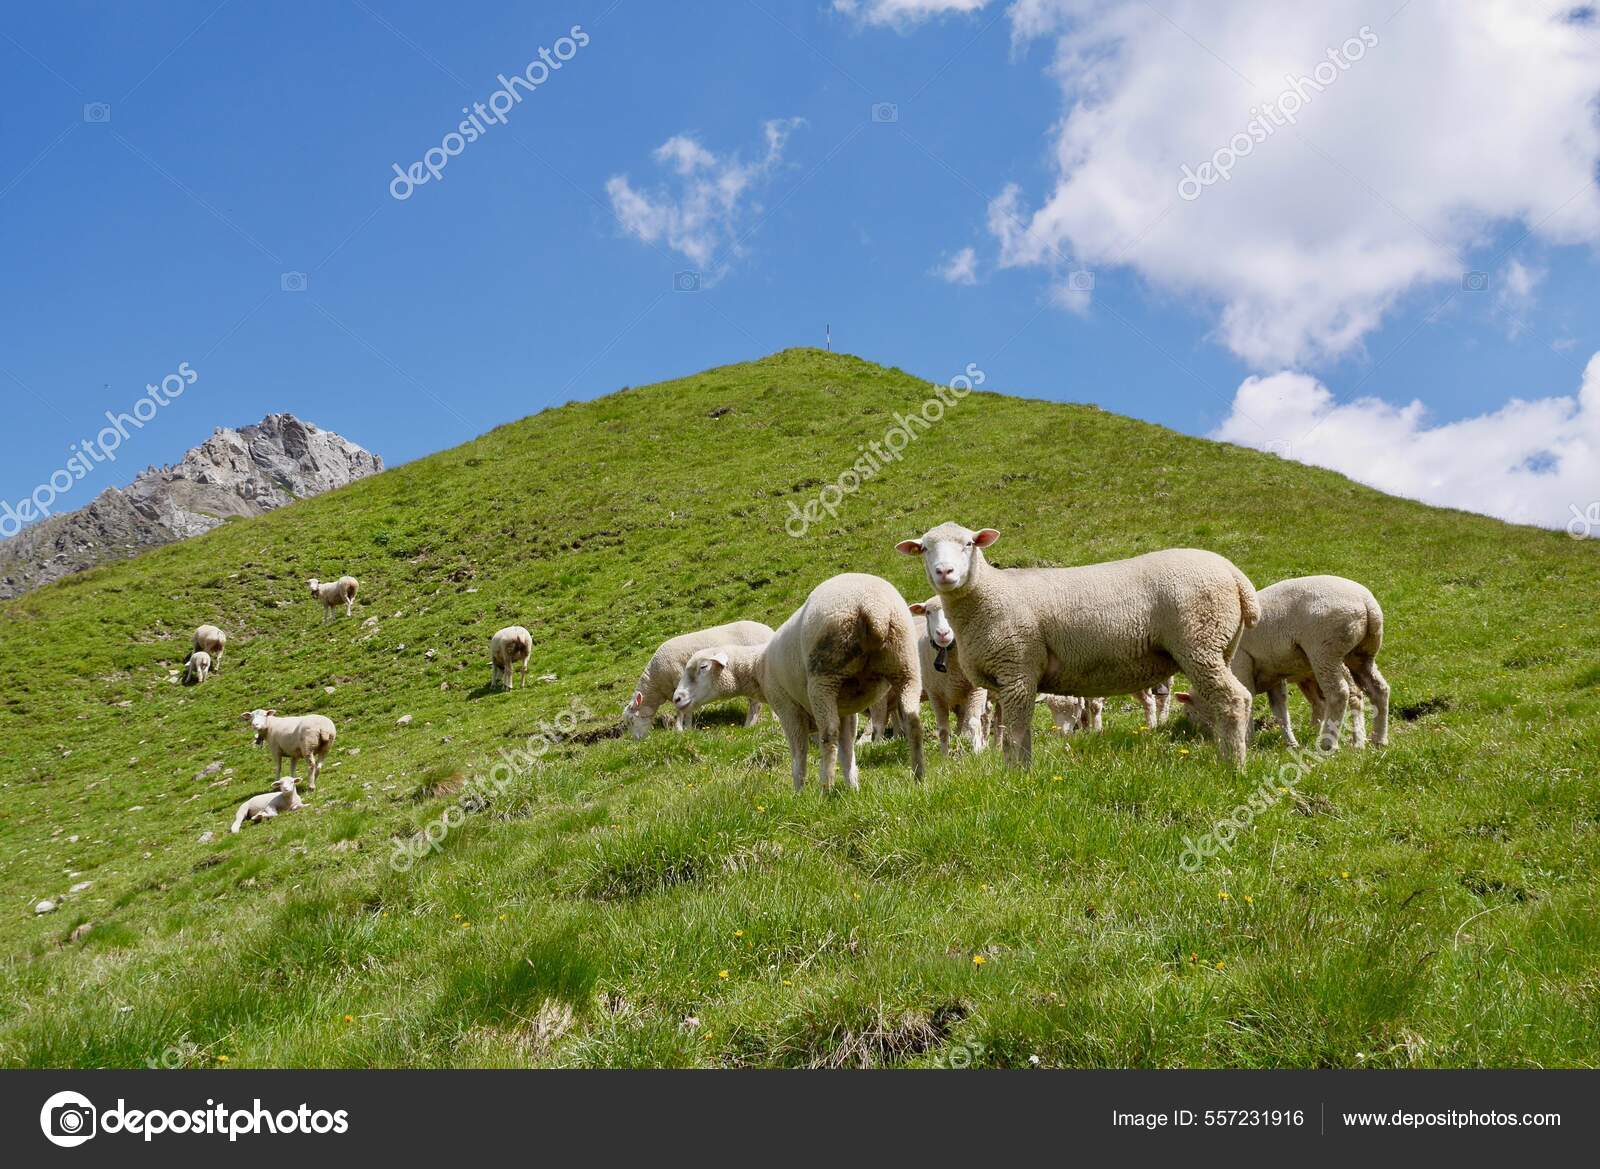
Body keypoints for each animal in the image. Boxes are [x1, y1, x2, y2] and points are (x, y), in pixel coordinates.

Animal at [622, 620, 774, 738]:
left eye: (631, 720)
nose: (637, 740)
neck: (656, 684)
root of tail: (770, 631)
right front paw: (686, 728)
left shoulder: (679, 682)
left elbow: (682, 710)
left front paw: (682, 729)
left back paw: (755, 724)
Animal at [681, 573, 923, 791]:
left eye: (702, 668)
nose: (678, 698)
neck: (758, 667)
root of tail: (874, 609)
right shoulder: (846, 710)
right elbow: (847, 752)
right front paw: (853, 787)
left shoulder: (786, 707)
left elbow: (799, 753)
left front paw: (799, 791)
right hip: (906, 664)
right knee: (912, 720)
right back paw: (919, 777)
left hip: (824, 677)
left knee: (829, 734)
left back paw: (825, 788)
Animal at [907, 595, 988, 755]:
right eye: (928, 612)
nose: (942, 633)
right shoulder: (935, 694)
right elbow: (943, 730)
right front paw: (944, 756)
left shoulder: (976, 690)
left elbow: (974, 723)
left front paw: (977, 753)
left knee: (985, 717)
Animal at [1175, 574, 1388, 751]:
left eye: (1189, 713)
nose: (1197, 736)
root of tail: (1367, 604)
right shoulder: (1273, 675)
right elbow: (1280, 710)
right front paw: (1290, 743)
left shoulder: (1243, 664)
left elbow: (1248, 698)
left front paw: (1248, 740)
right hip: (1361, 654)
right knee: (1379, 689)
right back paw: (1377, 740)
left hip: (1325, 651)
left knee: (1340, 693)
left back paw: (1329, 743)